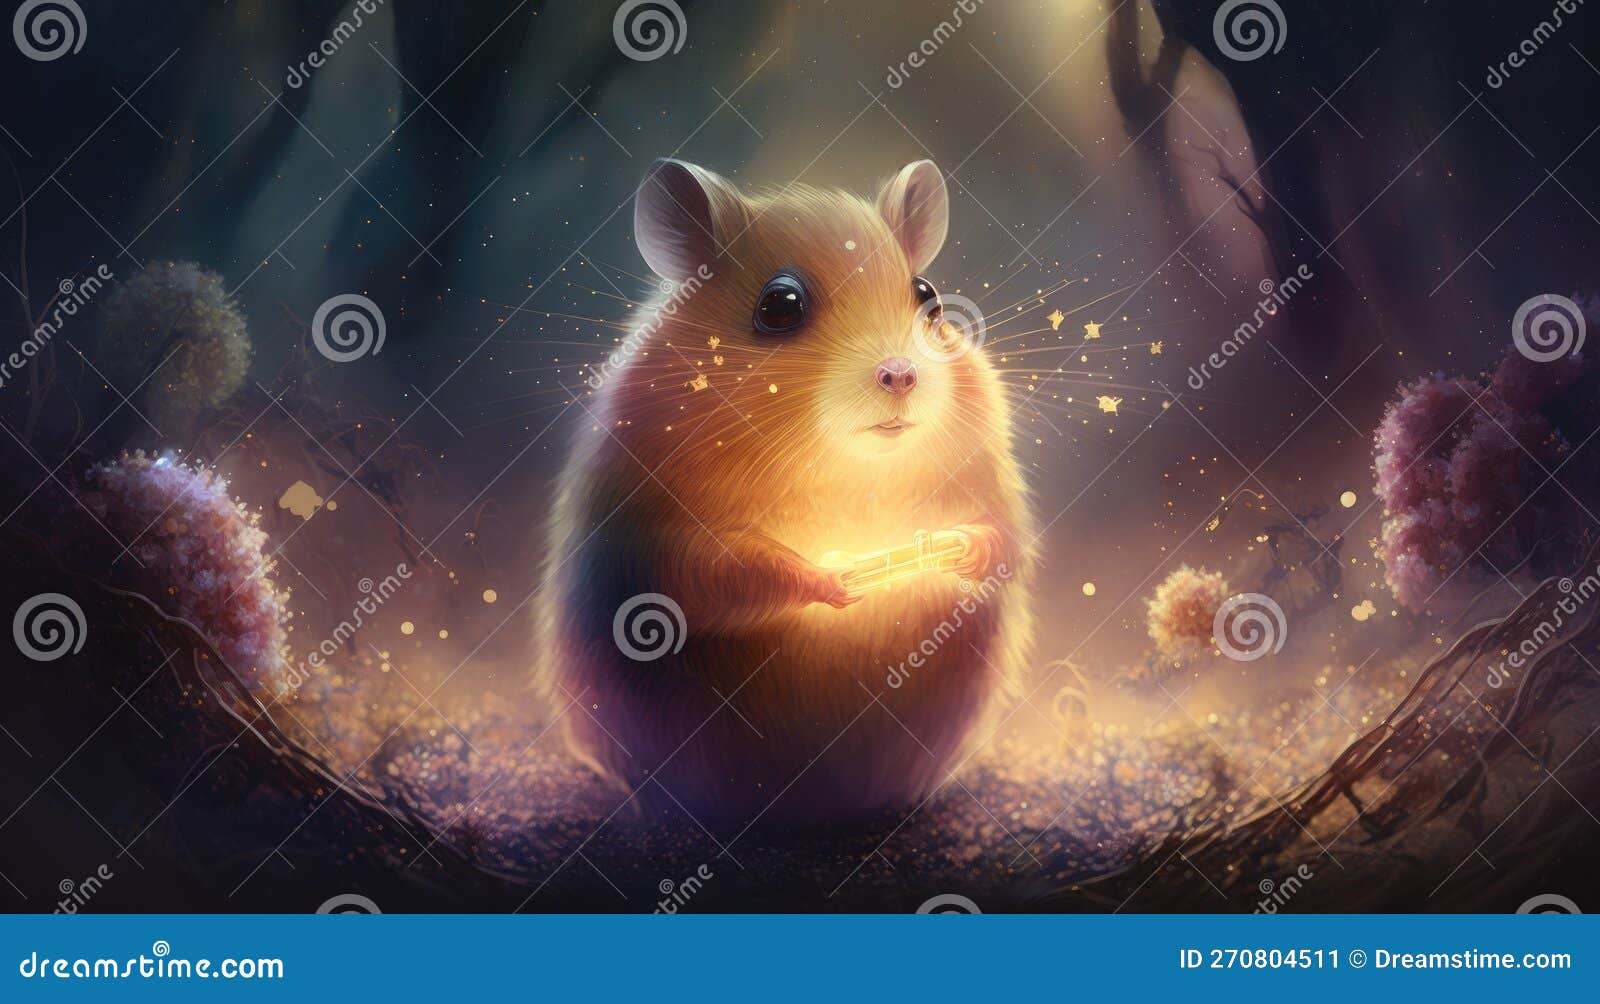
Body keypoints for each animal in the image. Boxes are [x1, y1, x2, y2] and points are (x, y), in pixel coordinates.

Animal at [534, 158, 1034, 827]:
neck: (846, 464)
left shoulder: (992, 479)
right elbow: (724, 572)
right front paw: (839, 578)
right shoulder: (659, 539)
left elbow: (1003, 541)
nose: (901, 374)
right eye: (780, 304)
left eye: (927, 295)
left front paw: (951, 548)